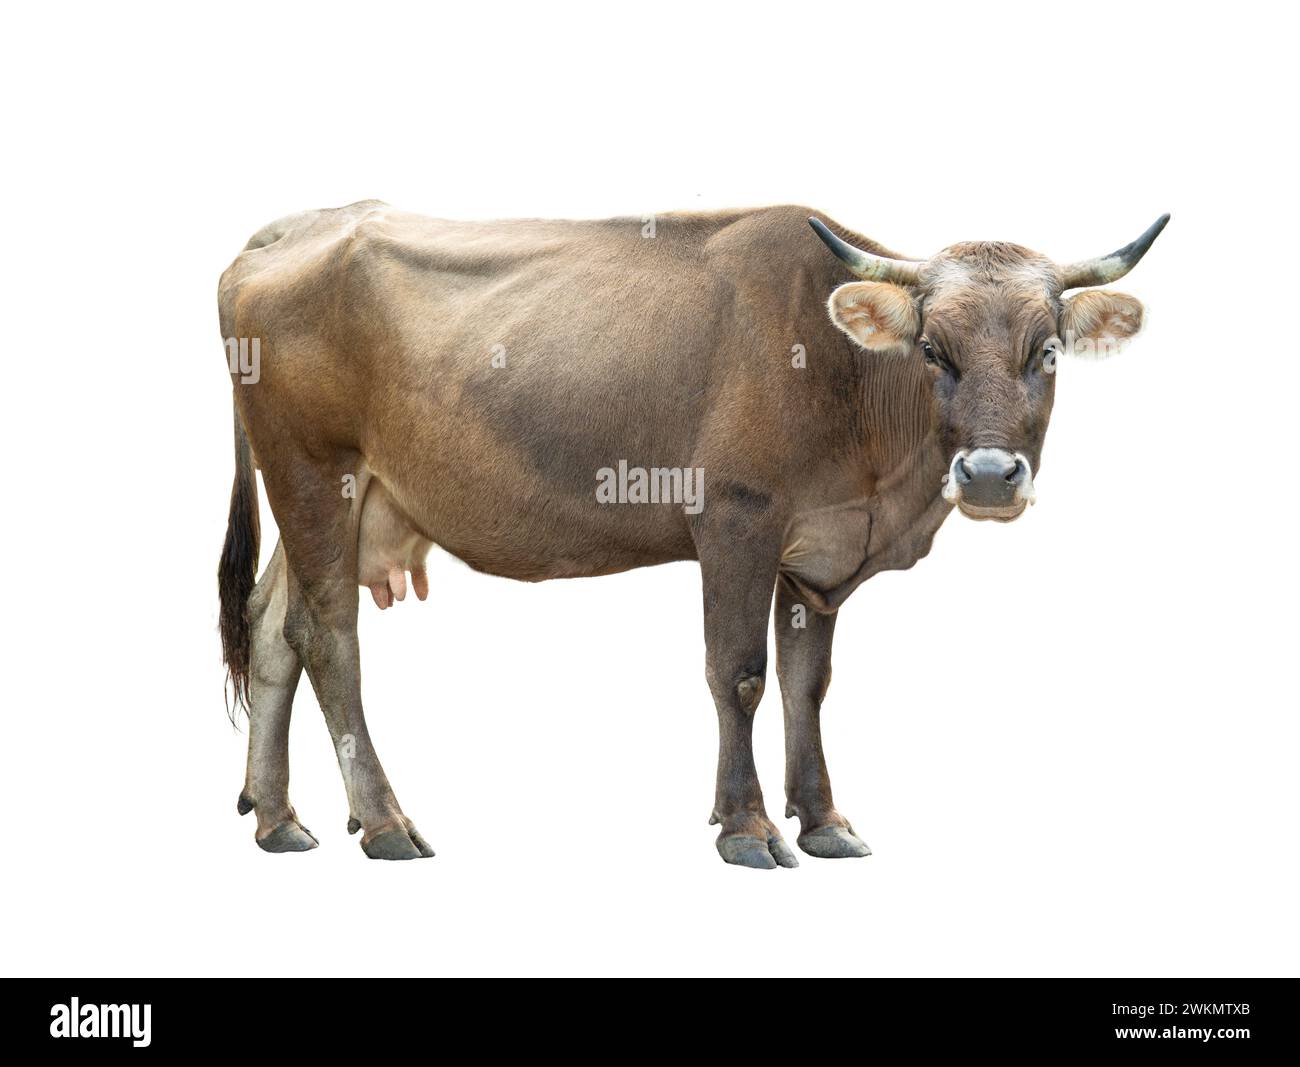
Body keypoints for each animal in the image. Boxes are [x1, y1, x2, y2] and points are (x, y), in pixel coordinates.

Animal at [217, 202, 1168, 866]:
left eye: (1047, 352)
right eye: (933, 349)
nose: (989, 476)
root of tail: (295, 226)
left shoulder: (815, 549)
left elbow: (808, 684)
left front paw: (823, 819)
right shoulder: (735, 519)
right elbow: (739, 675)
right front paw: (745, 825)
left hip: (341, 499)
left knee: (271, 628)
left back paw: (279, 817)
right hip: (314, 472)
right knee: (329, 637)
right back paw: (384, 820)